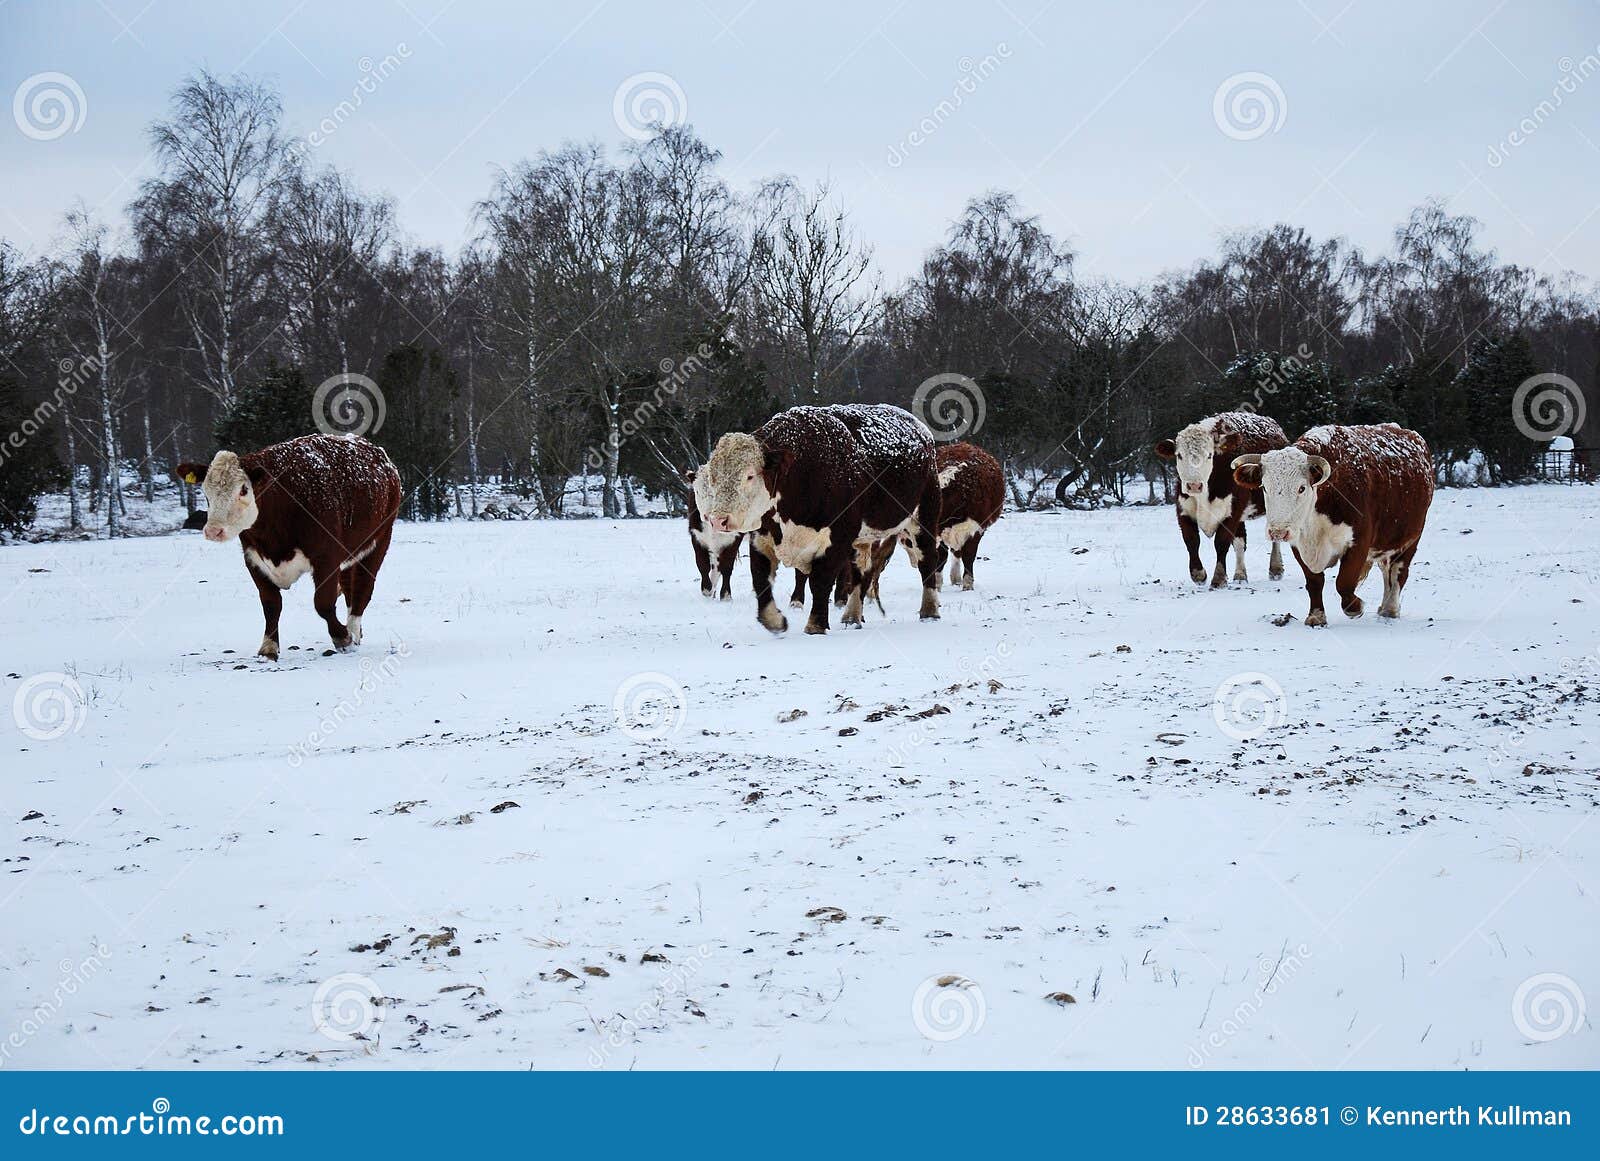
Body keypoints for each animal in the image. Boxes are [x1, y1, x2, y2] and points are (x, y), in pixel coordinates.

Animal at [176, 433, 403, 659]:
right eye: (205, 490)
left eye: (243, 489)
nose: (214, 530)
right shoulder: (253, 558)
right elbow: (271, 605)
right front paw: (268, 647)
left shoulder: (326, 558)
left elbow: (323, 602)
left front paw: (342, 637)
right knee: (349, 588)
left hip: (379, 540)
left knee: (362, 589)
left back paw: (353, 631)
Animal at [694, 403, 942, 634]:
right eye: (713, 478)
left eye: (749, 475)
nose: (717, 519)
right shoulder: (762, 537)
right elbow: (761, 579)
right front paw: (773, 620)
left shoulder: (837, 539)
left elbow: (820, 582)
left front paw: (815, 625)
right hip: (863, 539)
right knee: (860, 572)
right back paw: (851, 616)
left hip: (924, 517)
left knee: (927, 561)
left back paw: (929, 612)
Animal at [1153, 412, 1288, 588]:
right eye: (1179, 455)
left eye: (1209, 455)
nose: (1194, 485)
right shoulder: (1183, 510)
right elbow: (1191, 540)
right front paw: (1198, 574)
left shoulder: (1232, 512)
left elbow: (1221, 542)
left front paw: (1219, 578)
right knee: (1240, 543)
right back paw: (1240, 575)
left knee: (1274, 536)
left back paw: (1276, 569)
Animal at [1231, 423, 1434, 627]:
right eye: (1265, 487)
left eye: (1301, 488)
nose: (1278, 532)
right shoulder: (1299, 543)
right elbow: (1314, 581)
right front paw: (1316, 616)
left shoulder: (1359, 542)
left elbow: (1344, 581)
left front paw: (1355, 607)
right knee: (1386, 570)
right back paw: (1384, 607)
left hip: (1411, 538)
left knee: (1398, 571)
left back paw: (1390, 609)